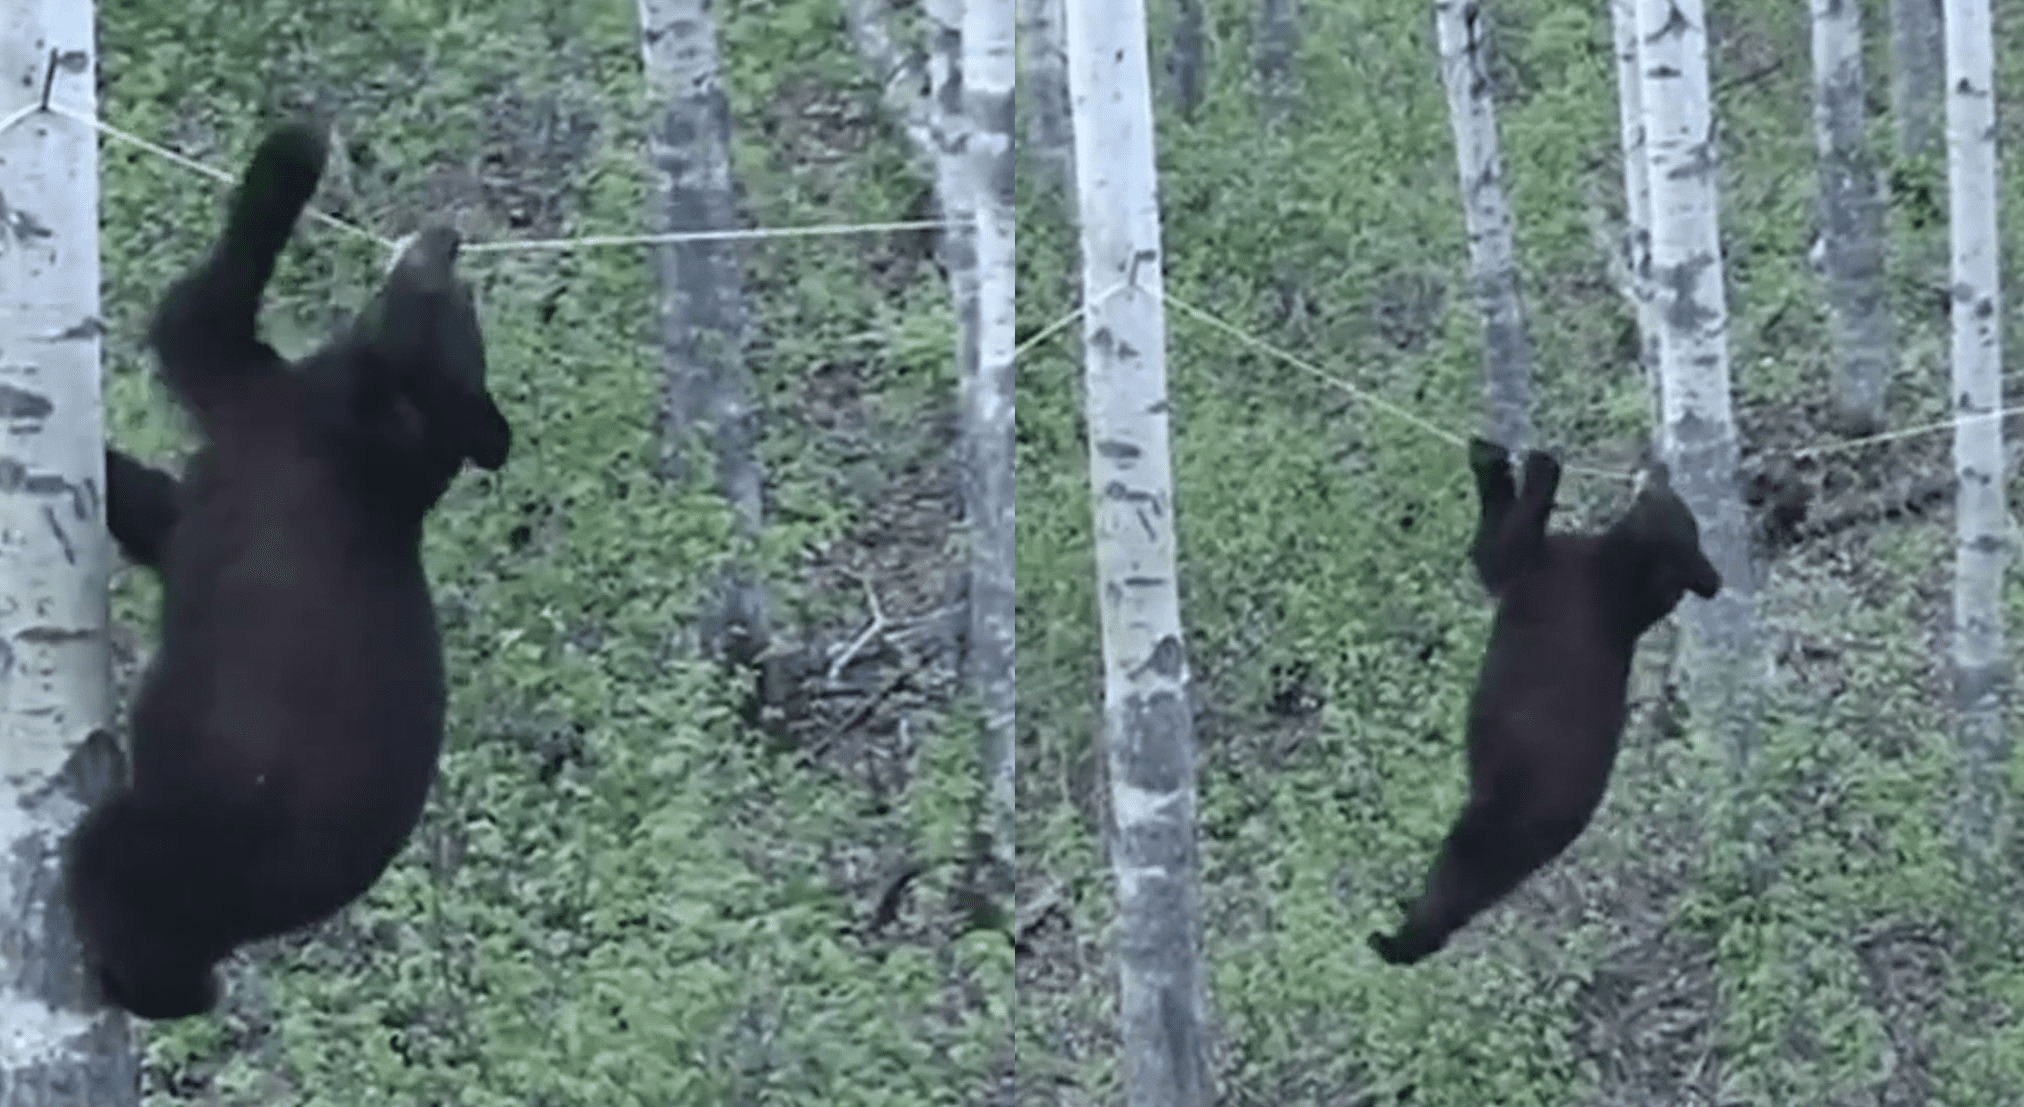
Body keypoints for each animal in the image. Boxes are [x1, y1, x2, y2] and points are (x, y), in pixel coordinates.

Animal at [65, 121, 512, 1019]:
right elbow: (160, 512)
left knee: (110, 871)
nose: (446, 241)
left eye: (454, 305)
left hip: (184, 830)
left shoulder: (280, 422)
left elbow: (201, 321)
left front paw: (291, 157)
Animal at [1368, 436, 1722, 966]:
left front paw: (1521, 465)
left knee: (1459, 871)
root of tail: (1566, 824)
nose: (1655, 467)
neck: (1626, 576)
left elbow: (1498, 555)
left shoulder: (1553, 572)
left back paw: (1397, 940)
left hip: (1504, 810)